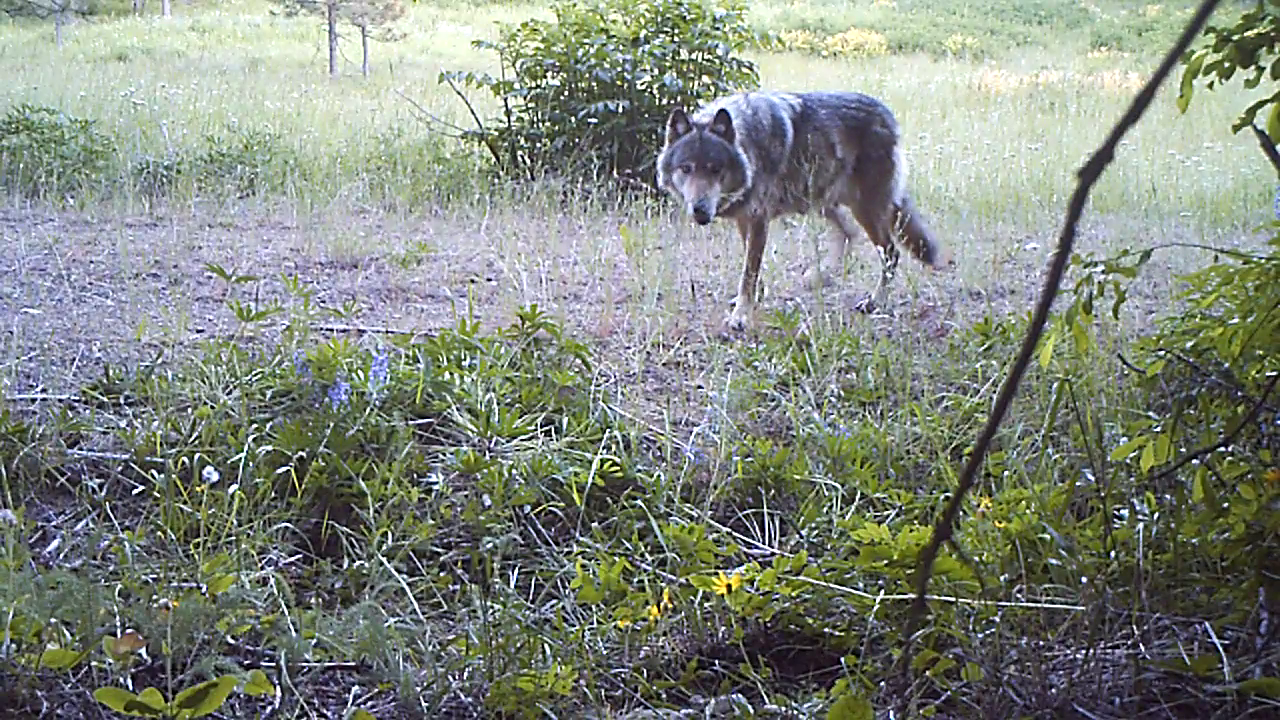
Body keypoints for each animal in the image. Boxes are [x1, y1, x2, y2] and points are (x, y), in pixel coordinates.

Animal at [655, 90, 952, 331]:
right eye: (686, 168)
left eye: (716, 169)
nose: (700, 211)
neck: (748, 143)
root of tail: (888, 116)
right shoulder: (745, 219)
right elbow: (751, 272)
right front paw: (752, 300)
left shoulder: (758, 220)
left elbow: (748, 273)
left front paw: (741, 316)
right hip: (822, 203)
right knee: (849, 234)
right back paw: (821, 277)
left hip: (863, 209)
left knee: (890, 253)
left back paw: (873, 302)